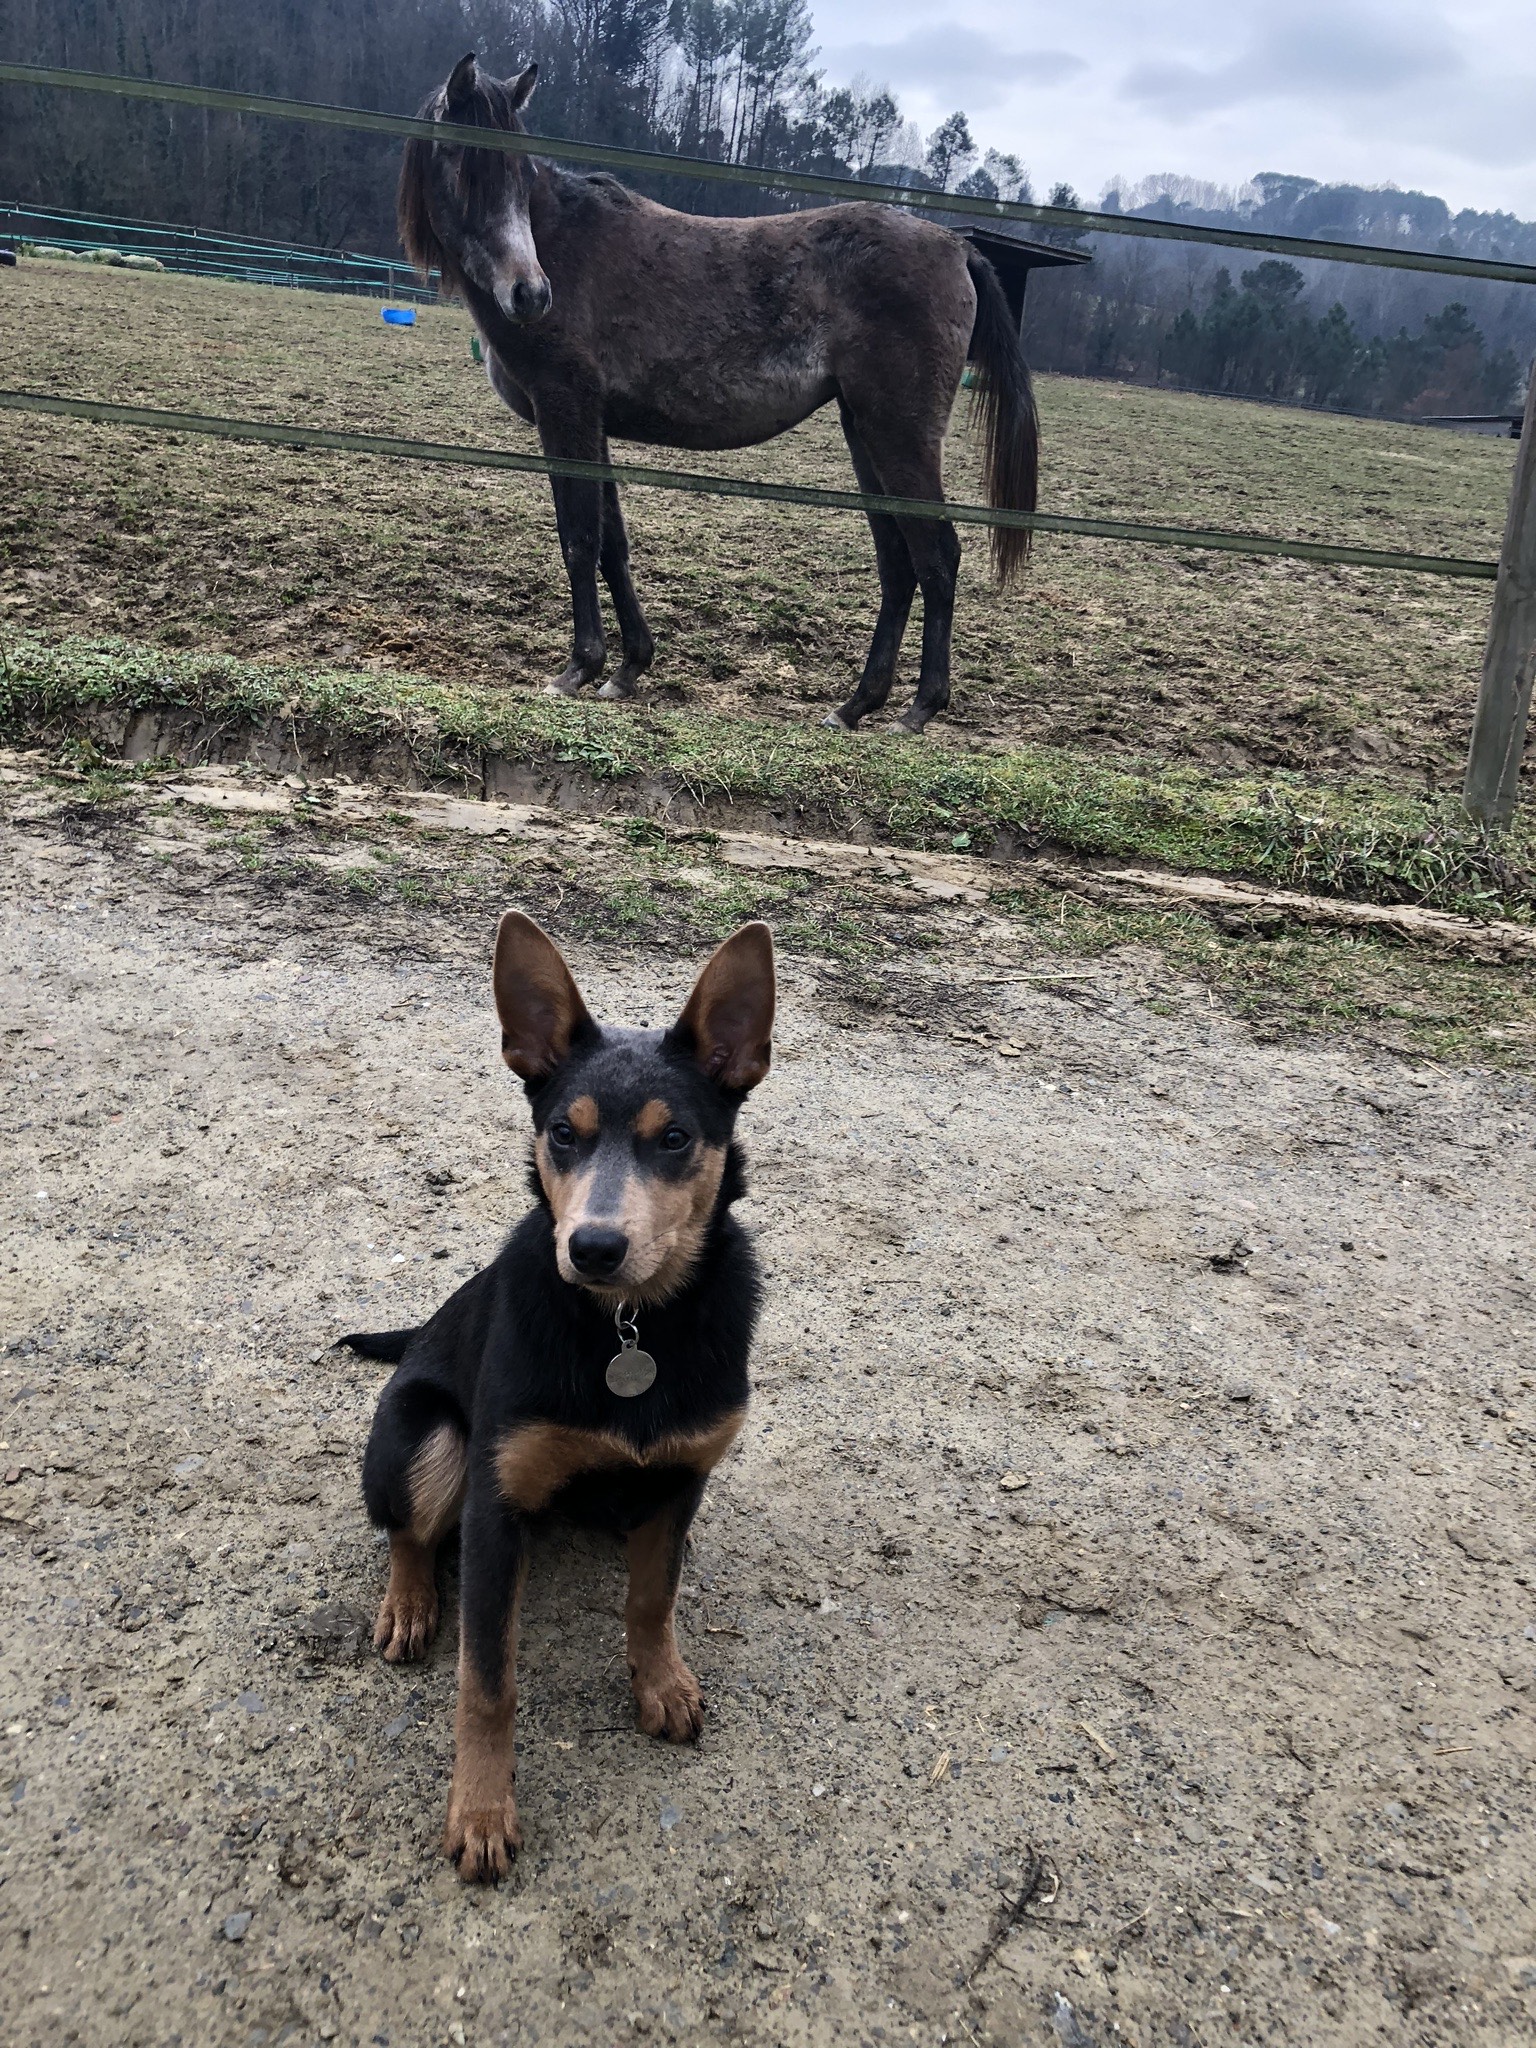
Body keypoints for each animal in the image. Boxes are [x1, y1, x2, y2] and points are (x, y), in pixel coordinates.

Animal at [398, 54, 1039, 734]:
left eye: (518, 174)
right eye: (464, 165)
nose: (530, 294)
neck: (563, 245)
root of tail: (957, 246)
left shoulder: (565, 411)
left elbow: (579, 538)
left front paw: (579, 669)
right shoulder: (594, 423)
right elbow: (612, 544)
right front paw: (628, 669)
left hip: (901, 437)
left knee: (937, 556)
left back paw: (919, 709)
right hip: (865, 433)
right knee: (898, 563)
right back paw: (856, 705)